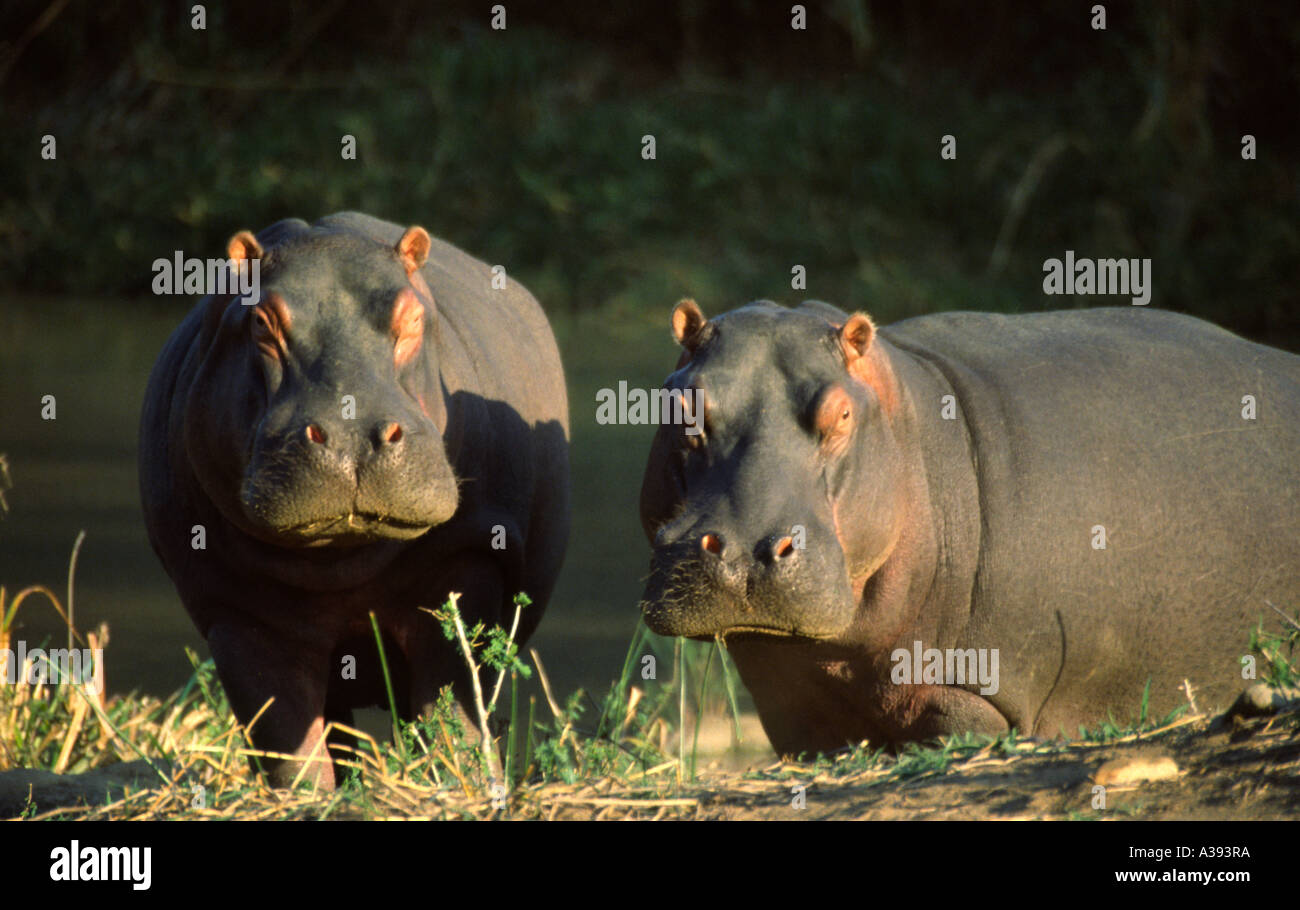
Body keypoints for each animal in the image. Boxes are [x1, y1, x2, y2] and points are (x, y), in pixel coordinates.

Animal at [139, 212, 569, 788]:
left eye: (414, 315)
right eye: (261, 323)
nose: (350, 436)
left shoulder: (466, 562)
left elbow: (452, 720)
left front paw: (468, 786)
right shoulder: (233, 610)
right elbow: (289, 752)